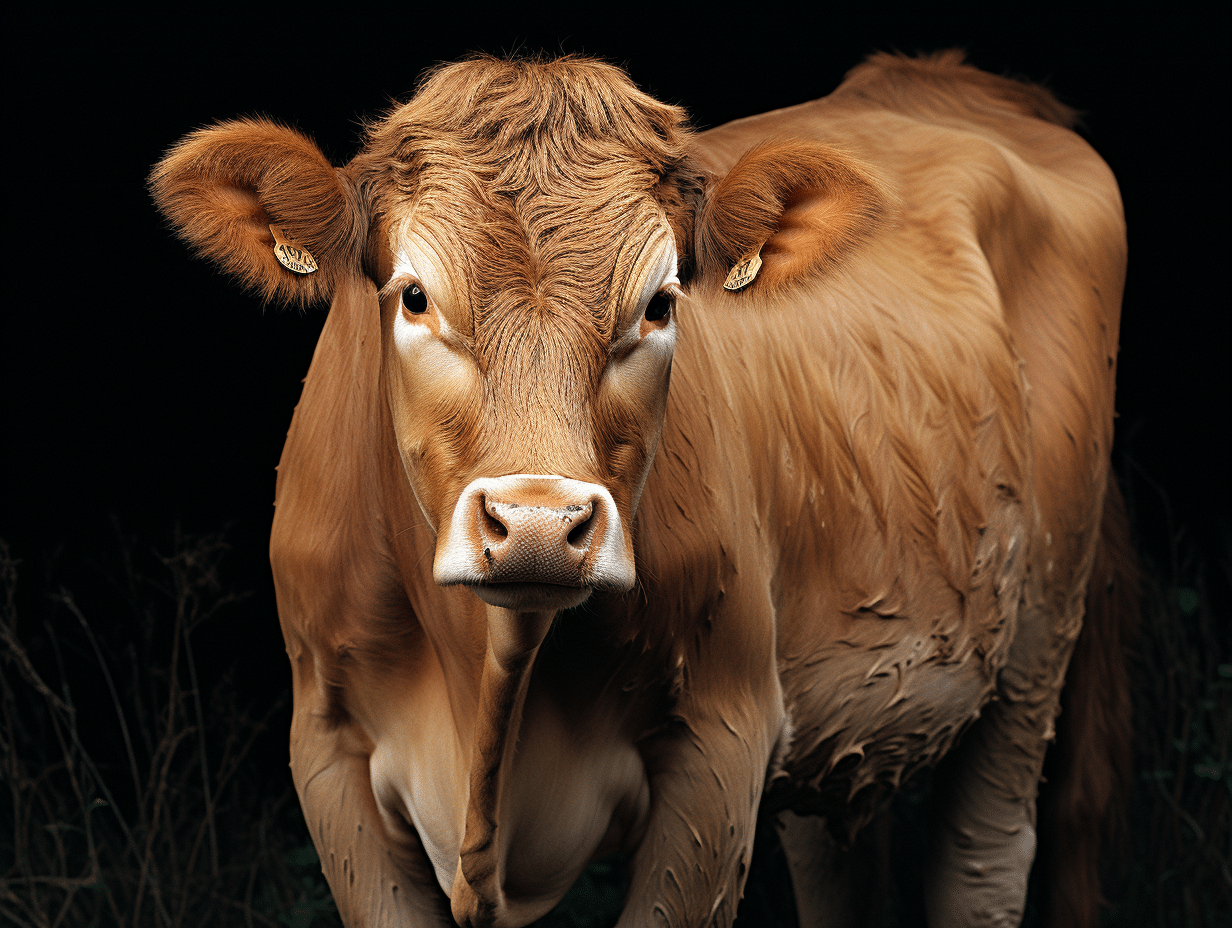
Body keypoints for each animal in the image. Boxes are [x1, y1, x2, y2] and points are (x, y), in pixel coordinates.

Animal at [151, 51, 1135, 927]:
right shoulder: (326, 752)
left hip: (1039, 632)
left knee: (983, 860)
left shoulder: (719, 751)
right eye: (415, 296)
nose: (538, 524)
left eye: (659, 303)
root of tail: (949, 79)